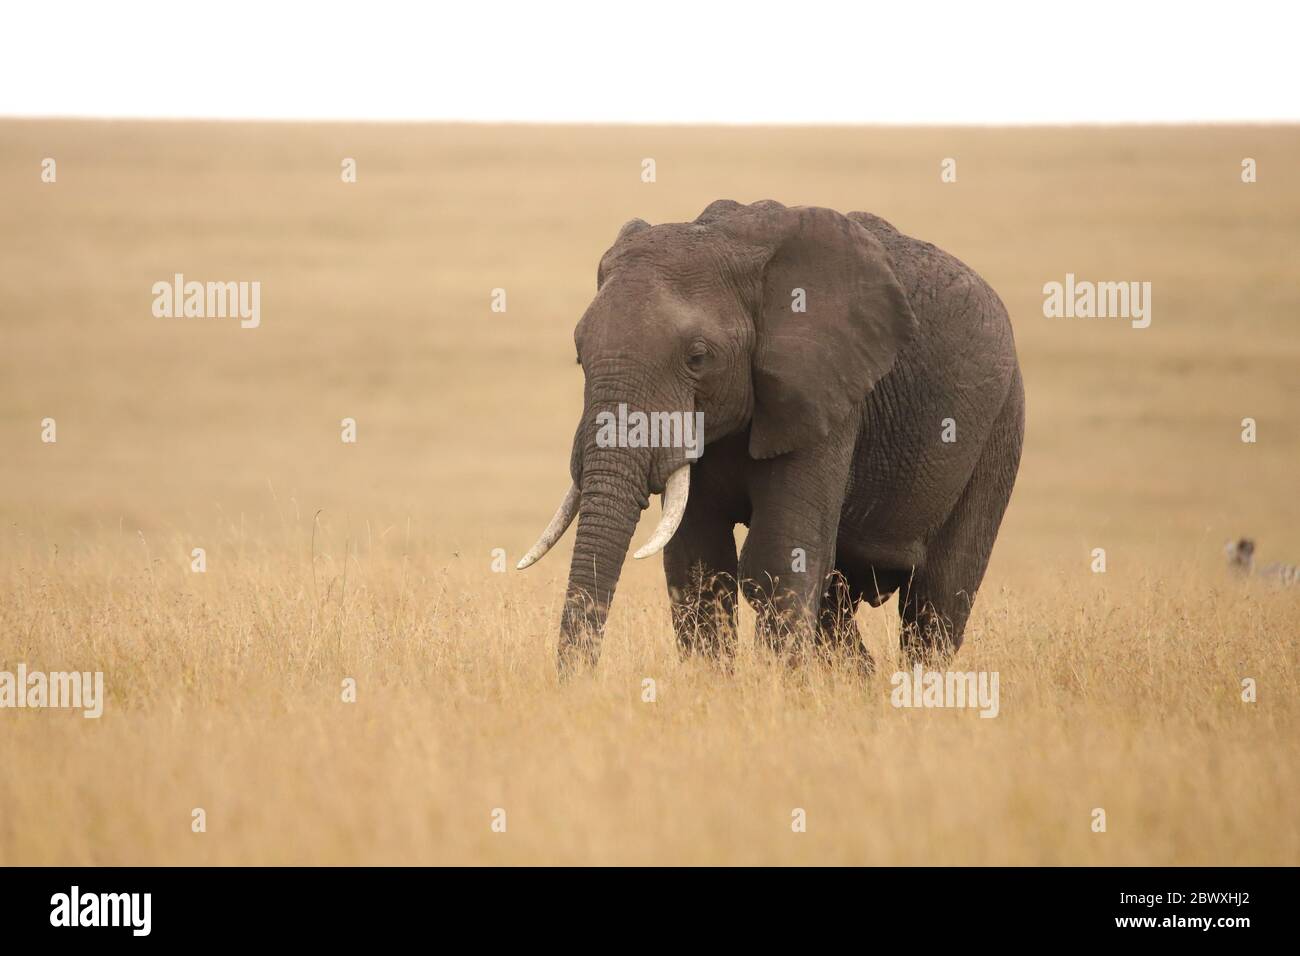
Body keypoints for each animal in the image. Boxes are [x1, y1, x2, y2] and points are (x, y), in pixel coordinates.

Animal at [518, 199, 1024, 674]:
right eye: (580, 354)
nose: (576, 684)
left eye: (698, 357)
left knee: (937, 602)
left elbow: (780, 559)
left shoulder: (825, 391)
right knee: (837, 603)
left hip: (1001, 423)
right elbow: (698, 564)